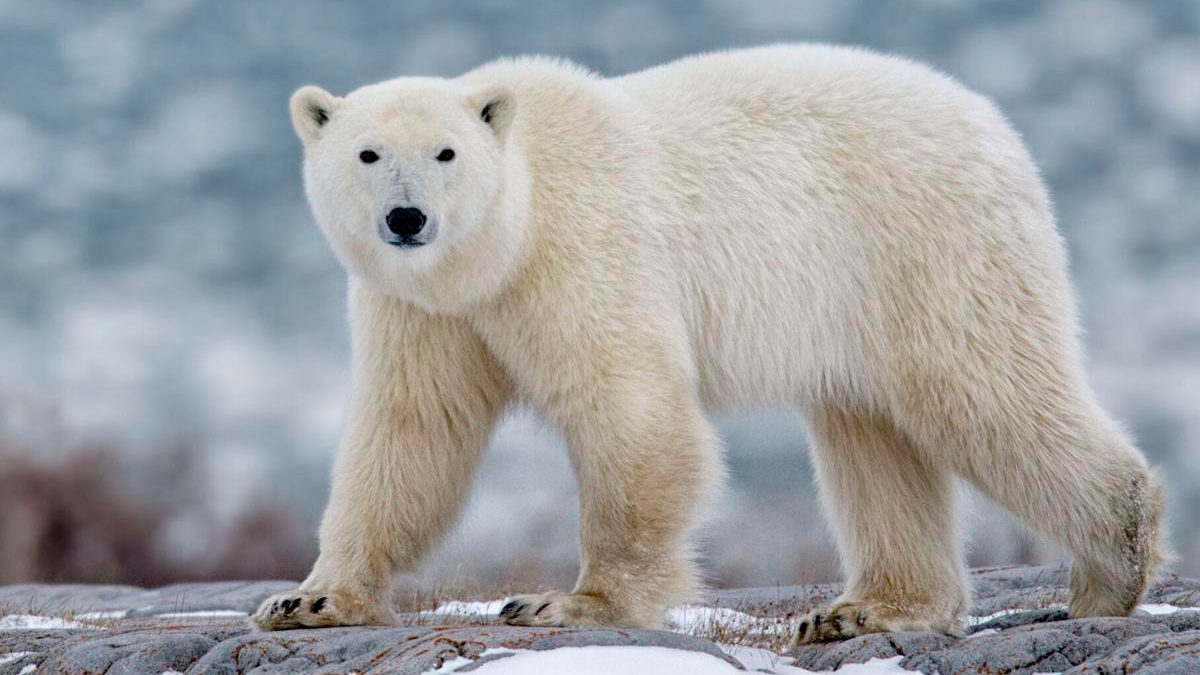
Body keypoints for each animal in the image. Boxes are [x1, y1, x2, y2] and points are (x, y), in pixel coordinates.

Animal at [251, 44, 1167, 645]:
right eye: (368, 153)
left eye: (445, 152)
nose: (407, 218)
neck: (506, 238)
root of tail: (994, 126)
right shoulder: (425, 309)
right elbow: (411, 432)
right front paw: (309, 600)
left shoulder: (583, 252)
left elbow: (631, 411)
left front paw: (565, 603)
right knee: (872, 436)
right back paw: (862, 608)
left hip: (926, 246)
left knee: (983, 393)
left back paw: (1112, 566)